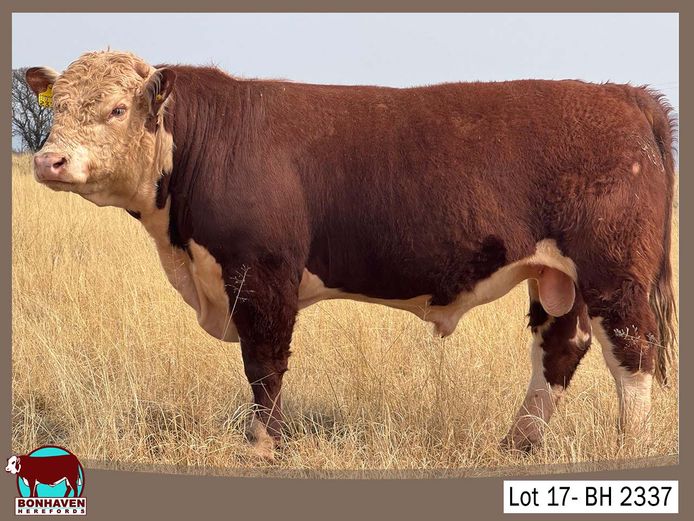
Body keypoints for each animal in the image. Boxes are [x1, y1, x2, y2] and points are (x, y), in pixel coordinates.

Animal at [25, 51, 676, 459]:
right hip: (556, 277)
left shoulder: (262, 274)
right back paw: (518, 443)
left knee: (632, 350)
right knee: (561, 347)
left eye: (116, 109)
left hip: (614, 272)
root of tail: (624, 97)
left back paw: (631, 446)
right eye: (58, 108)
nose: (48, 160)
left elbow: (264, 363)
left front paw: (263, 444)